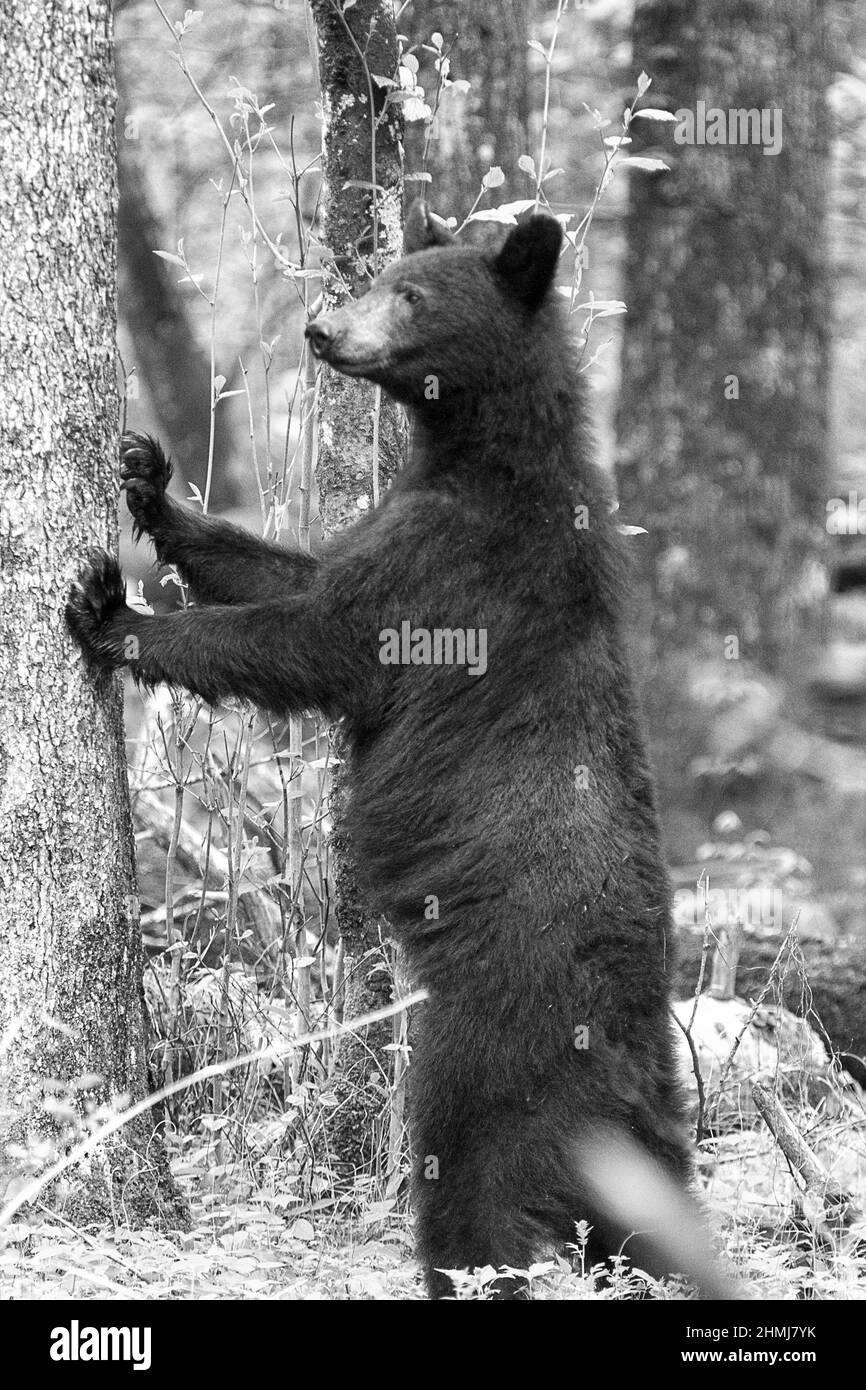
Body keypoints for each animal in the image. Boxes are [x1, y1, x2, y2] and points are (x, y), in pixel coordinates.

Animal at [67, 200, 700, 1299]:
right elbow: (289, 568)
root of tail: (624, 1035)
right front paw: (149, 480)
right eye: (382, 278)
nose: (321, 329)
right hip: (645, 1108)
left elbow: (311, 638)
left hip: (488, 1036)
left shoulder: (447, 571)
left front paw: (114, 615)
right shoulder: (396, 523)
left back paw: (455, 1262)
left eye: (409, 293)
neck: (477, 453)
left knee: (470, 1169)